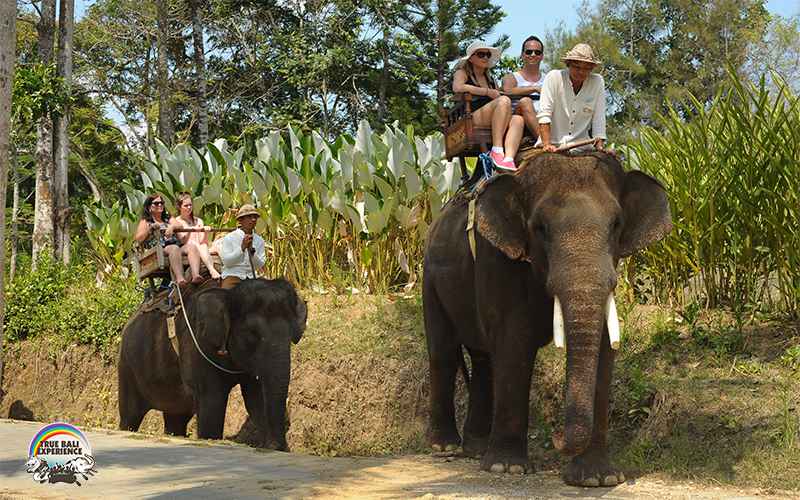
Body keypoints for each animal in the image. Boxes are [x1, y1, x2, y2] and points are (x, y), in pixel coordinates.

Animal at [118, 278, 307, 450]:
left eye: (292, 334)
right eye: (252, 334)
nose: (279, 446)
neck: (229, 293)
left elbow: (256, 399)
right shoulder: (197, 346)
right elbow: (212, 401)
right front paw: (210, 439)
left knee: (176, 418)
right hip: (127, 367)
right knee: (129, 415)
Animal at [422, 151, 671, 486]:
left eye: (616, 225)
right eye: (540, 228)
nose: (555, 437)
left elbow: (604, 349)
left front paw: (598, 479)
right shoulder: (498, 259)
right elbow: (514, 343)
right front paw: (507, 468)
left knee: (483, 357)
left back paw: (474, 449)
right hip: (430, 278)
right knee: (445, 352)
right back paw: (445, 446)